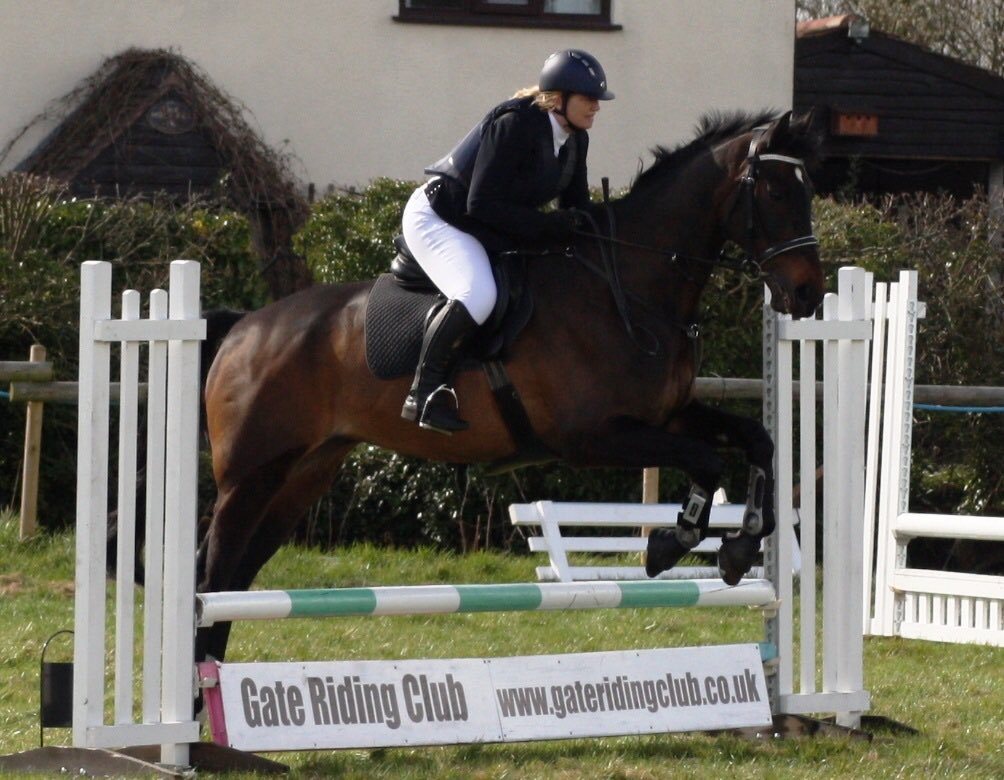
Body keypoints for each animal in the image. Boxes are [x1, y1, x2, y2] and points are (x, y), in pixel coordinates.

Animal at [196, 110, 825, 662]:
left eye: (807, 191)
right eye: (774, 194)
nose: (808, 294)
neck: (627, 286)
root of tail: (244, 329)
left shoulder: (664, 415)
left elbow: (758, 440)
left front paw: (742, 542)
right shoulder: (592, 437)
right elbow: (706, 461)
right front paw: (673, 543)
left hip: (304, 472)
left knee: (235, 577)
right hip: (252, 475)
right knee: (214, 569)